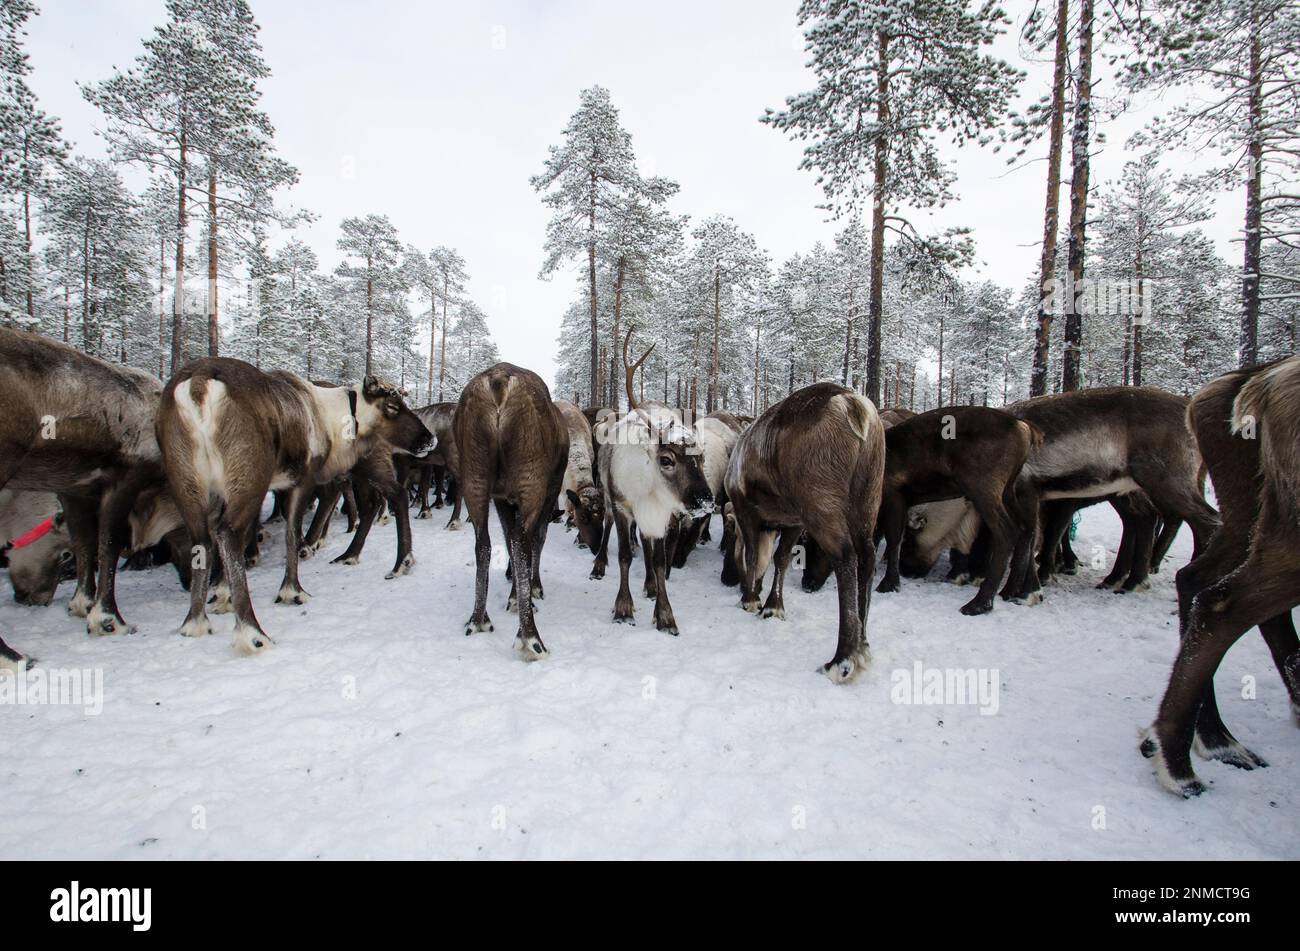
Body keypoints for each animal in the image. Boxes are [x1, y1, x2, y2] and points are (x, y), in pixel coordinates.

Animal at [0, 327, 166, 637]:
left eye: (65, 556)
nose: (28, 596)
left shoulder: (75, 489)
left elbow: (89, 544)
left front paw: (87, 607)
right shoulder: (123, 477)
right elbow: (105, 545)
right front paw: (107, 618)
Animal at [157, 359, 434, 656]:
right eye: (393, 406)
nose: (429, 438)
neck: (336, 420)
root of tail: (199, 383)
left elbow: (285, 532)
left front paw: (229, 591)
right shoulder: (301, 479)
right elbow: (291, 533)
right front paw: (291, 590)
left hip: (188, 482)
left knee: (203, 539)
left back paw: (195, 622)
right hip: (245, 477)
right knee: (226, 534)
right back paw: (251, 631)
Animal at [454, 363, 569, 660]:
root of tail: (499, 382)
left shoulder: (501, 496)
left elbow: (506, 537)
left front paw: (514, 593)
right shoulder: (549, 490)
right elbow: (536, 538)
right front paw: (531, 590)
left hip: (473, 471)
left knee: (484, 542)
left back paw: (478, 619)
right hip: (531, 474)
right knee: (522, 541)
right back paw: (531, 637)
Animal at [725, 382, 885, 682]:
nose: (736, 583)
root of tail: (854, 405)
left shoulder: (745, 508)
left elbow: (753, 555)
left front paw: (750, 599)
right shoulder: (793, 519)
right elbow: (781, 560)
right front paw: (773, 605)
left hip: (820, 500)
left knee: (845, 557)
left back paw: (842, 660)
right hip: (868, 496)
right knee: (868, 559)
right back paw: (864, 643)